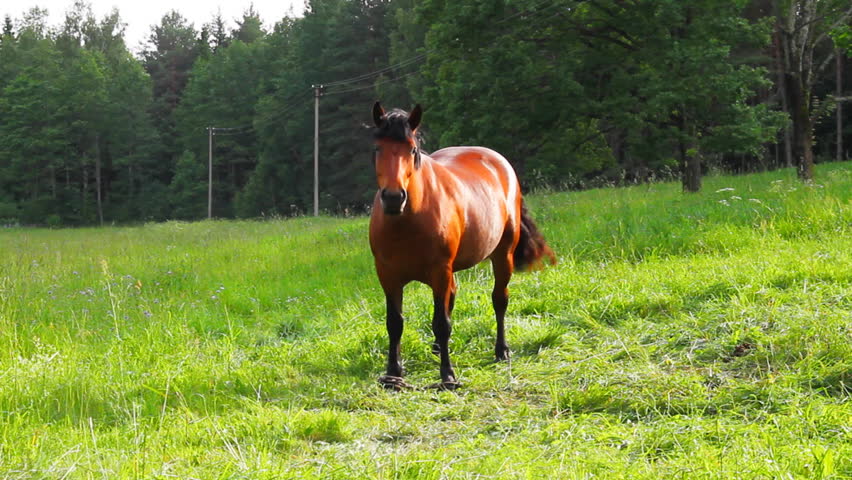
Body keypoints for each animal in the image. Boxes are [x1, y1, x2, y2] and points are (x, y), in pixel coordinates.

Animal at [369, 102, 555, 390]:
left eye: (412, 150)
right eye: (378, 148)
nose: (393, 198)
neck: (408, 221)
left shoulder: (440, 271)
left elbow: (441, 323)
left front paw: (447, 375)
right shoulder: (388, 275)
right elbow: (395, 323)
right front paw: (393, 374)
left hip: (502, 255)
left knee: (499, 299)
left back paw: (501, 350)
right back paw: (437, 348)